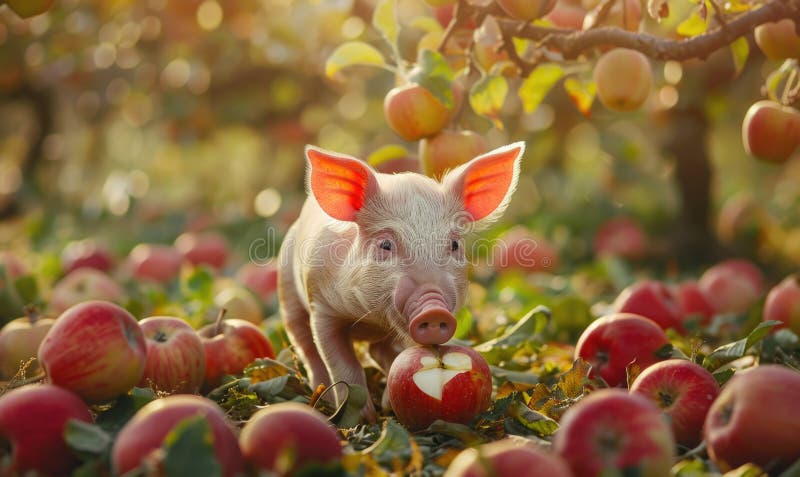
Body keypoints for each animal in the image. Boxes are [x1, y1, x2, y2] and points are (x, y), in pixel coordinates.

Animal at [278, 141, 525, 421]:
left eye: (454, 244)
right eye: (386, 244)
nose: (435, 309)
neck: (370, 317)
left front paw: (388, 405)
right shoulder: (321, 306)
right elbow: (339, 360)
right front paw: (363, 418)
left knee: (378, 350)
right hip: (287, 291)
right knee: (304, 343)